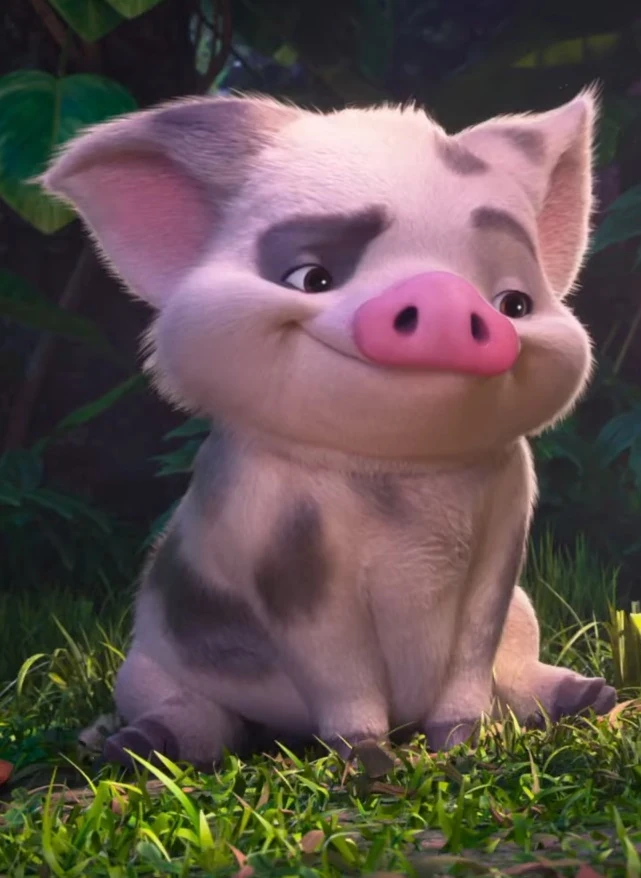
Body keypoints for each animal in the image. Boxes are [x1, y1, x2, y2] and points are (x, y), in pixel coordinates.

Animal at [41, 86, 617, 769]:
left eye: (515, 303)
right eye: (312, 277)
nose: (448, 297)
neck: (400, 473)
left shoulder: (505, 533)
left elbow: (476, 647)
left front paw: (465, 749)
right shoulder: (282, 548)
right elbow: (338, 669)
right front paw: (369, 763)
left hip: (526, 615)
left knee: (518, 667)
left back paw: (594, 698)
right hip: (149, 660)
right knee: (194, 714)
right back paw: (133, 747)